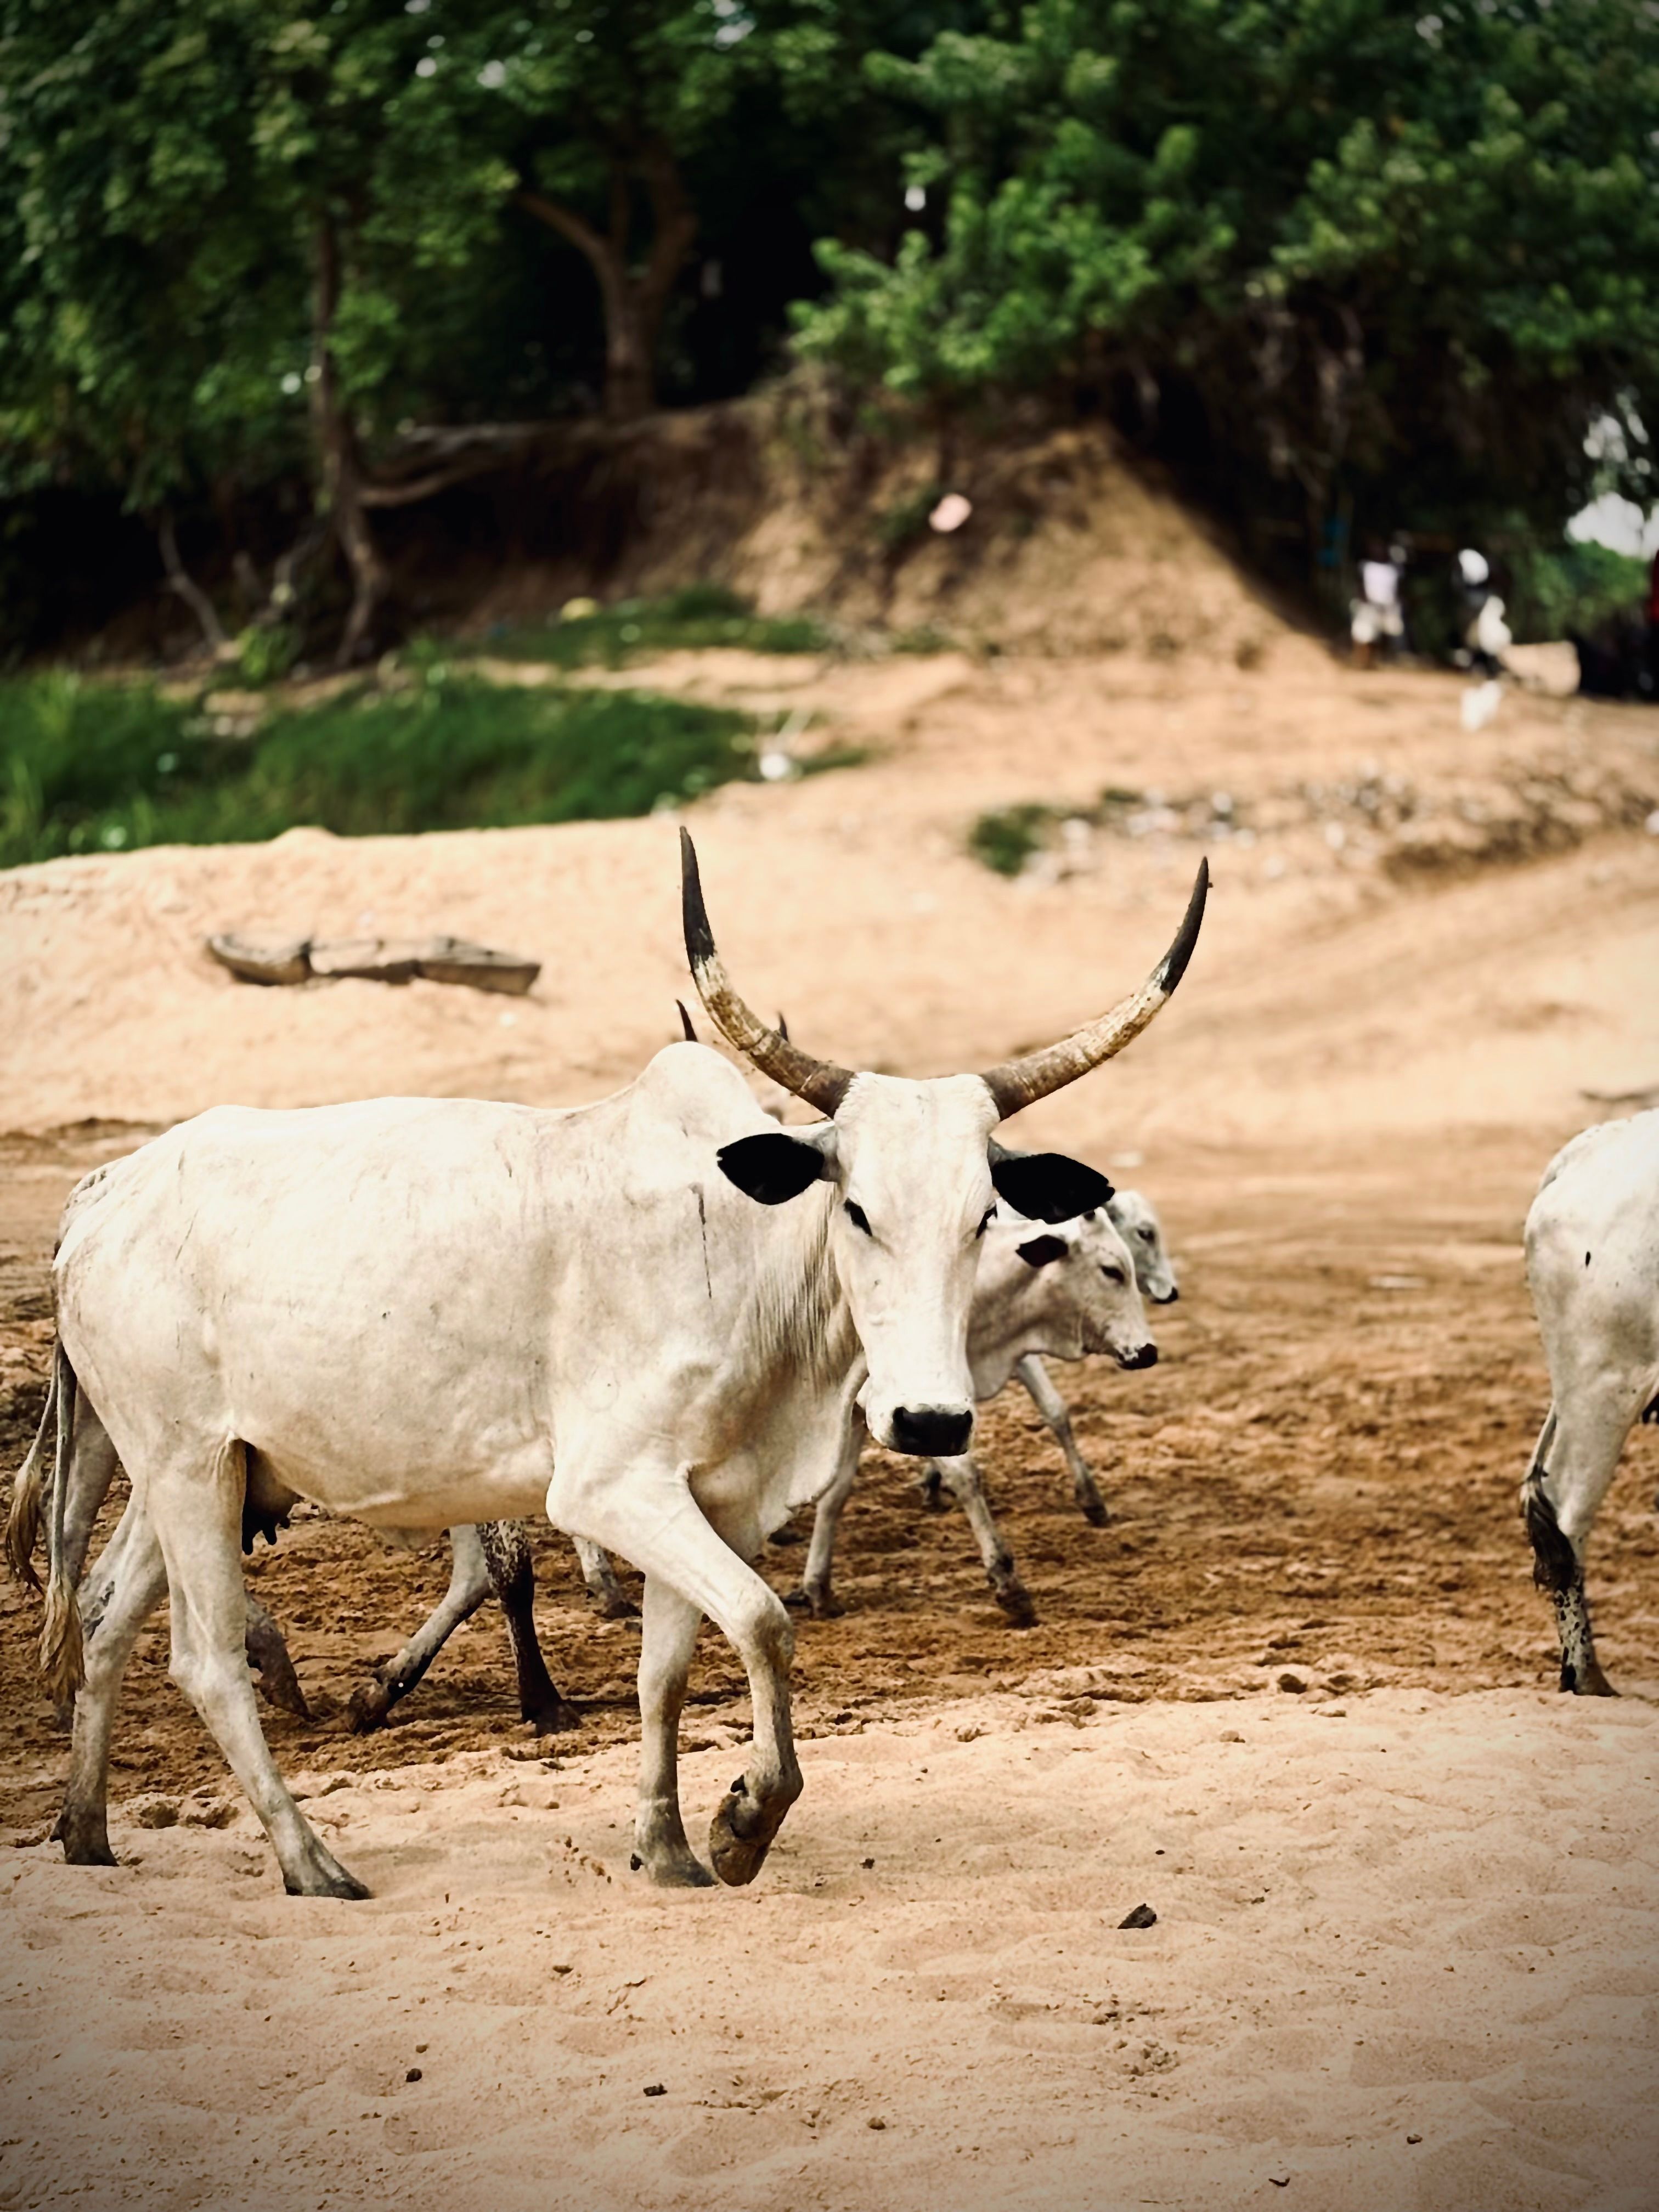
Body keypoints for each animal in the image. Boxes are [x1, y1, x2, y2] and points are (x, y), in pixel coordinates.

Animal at [794, 1200, 1156, 1624]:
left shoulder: (857, 1411)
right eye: (1111, 1270)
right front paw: (1007, 1581)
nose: (1148, 1351)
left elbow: (835, 1493)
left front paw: (818, 1588)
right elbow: (966, 1476)